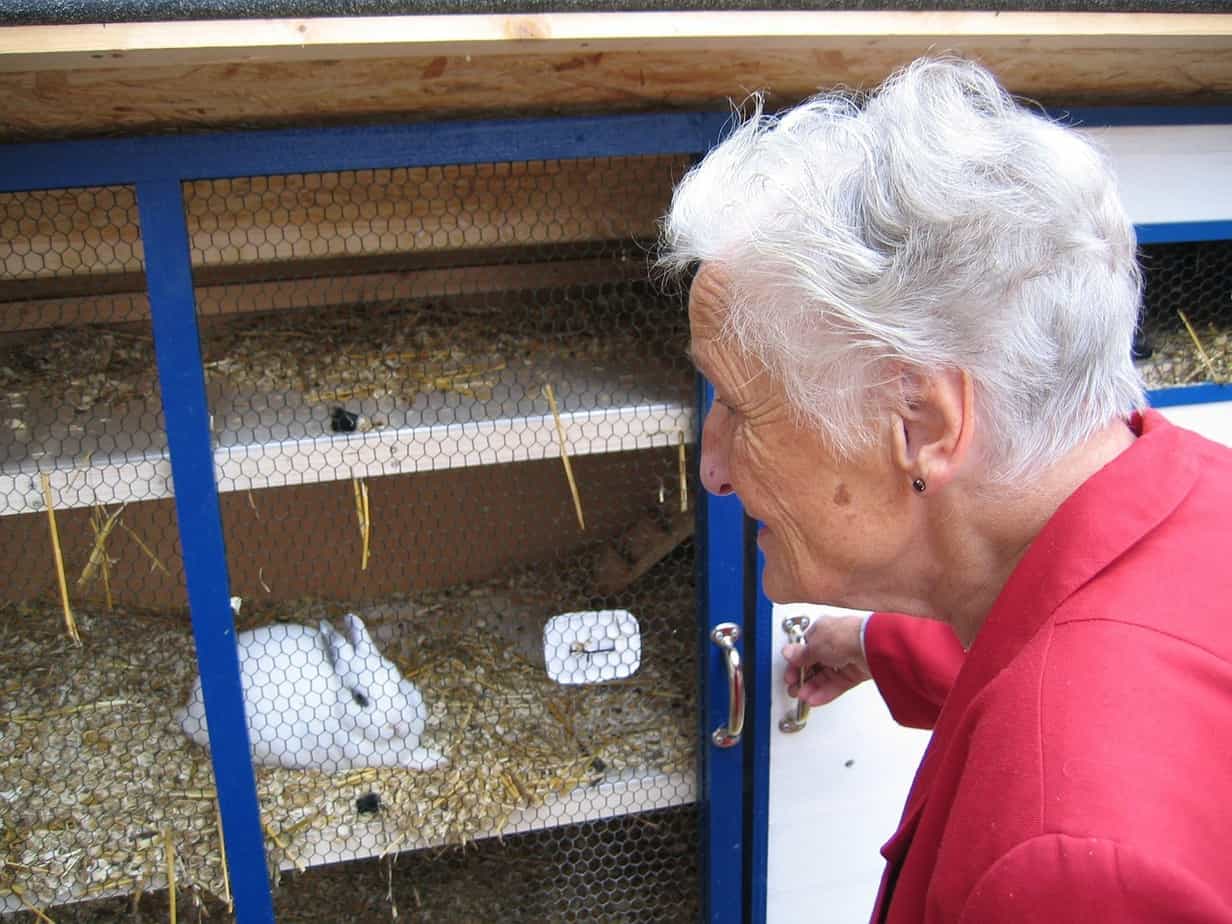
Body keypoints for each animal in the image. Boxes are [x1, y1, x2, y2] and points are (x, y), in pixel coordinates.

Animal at [176, 613, 447, 773]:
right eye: (359, 698)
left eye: (397, 681)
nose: (398, 724)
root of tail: (190, 709)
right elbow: (407, 757)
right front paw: (435, 759)